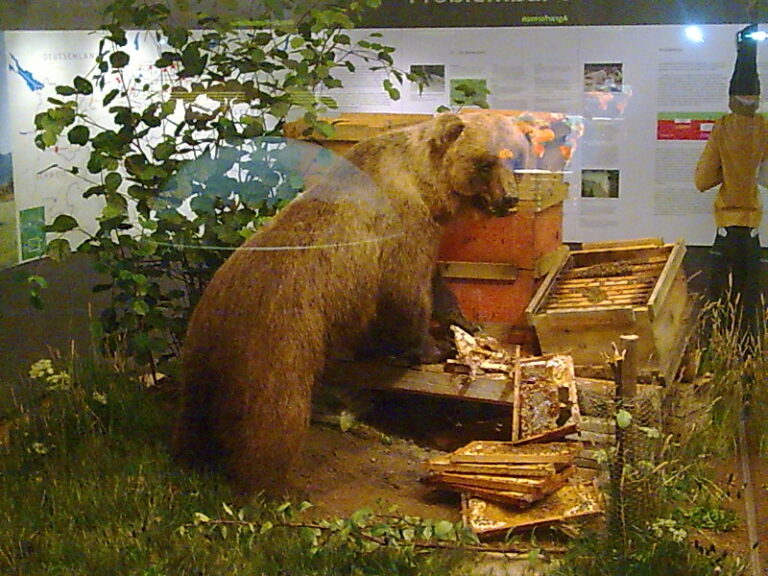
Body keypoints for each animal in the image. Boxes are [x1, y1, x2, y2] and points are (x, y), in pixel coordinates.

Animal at [174, 111, 533, 496]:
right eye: (485, 163)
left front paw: (465, 322)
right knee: (273, 420)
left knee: (194, 414)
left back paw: (192, 456)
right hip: (278, 345)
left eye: (515, 159)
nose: (509, 199)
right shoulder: (403, 228)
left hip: (202, 350)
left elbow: (435, 283)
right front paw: (432, 347)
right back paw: (267, 486)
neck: (424, 183)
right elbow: (405, 292)